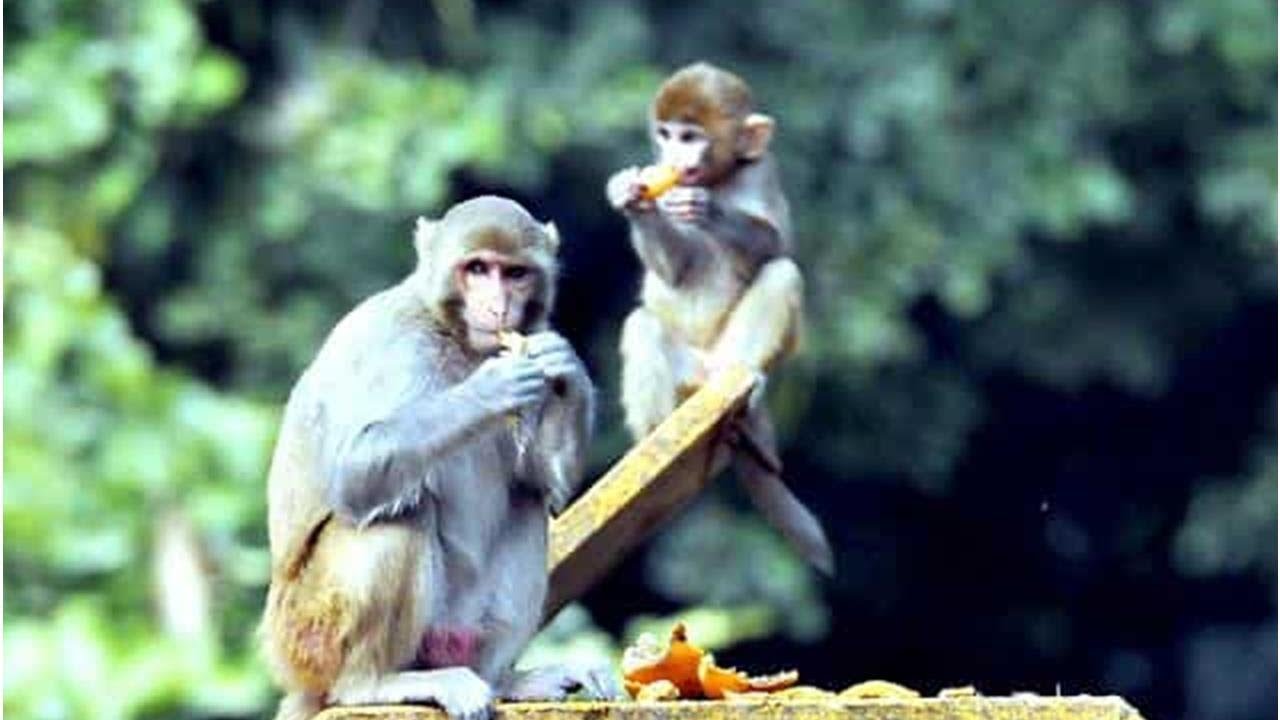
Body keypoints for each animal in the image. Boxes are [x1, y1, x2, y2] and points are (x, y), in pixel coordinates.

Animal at [260, 196, 615, 720]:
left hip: (452, 630)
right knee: (397, 517)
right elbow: (354, 471)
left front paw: (566, 370)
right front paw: (490, 389)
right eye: (477, 269)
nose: (498, 306)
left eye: (514, 273)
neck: (454, 334)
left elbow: (544, 484)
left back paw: (502, 679)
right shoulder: (391, 344)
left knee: (526, 504)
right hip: (309, 633)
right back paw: (369, 684)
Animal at [605, 62, 833, 575]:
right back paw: (651, 444)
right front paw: (633, 197)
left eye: (690, 136)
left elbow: (777, 246)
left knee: (782, 274)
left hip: (727, 360)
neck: (719, 177)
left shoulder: (764, 171)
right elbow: (673, 272)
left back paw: (744, 375)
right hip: (685, 375)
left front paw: (707, 210)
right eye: (666, 134)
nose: (672, 154)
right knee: (643, 326)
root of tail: (707, 374)